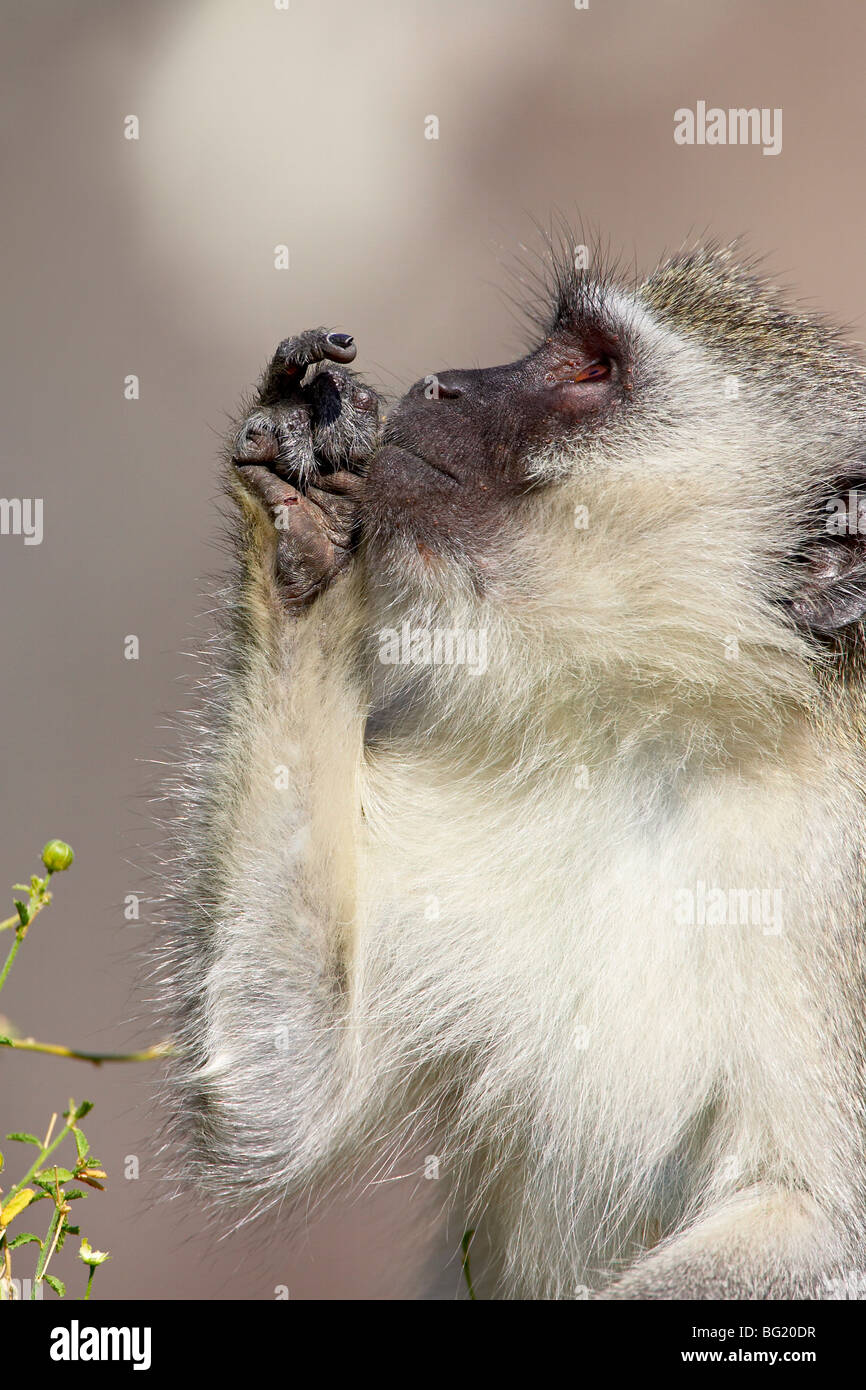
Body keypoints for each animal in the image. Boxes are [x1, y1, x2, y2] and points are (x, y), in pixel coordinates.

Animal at [158, 240, 866, 1300]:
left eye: (595, 369)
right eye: (555, 344)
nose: (440, 383)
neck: (668, 731)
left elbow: (821, 1223)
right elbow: (279, 1085)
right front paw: (304, 515)